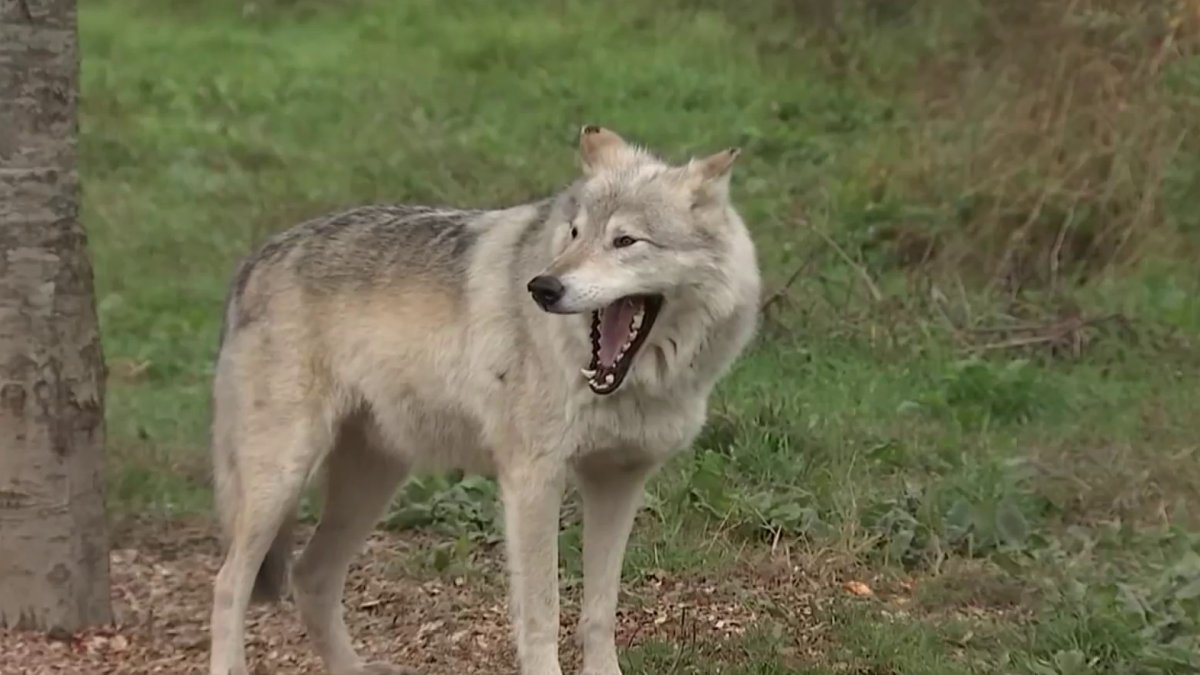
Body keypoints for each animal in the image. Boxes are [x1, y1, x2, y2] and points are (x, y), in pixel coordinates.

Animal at [207, 125, 762, 675]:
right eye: (575, 233)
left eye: (625, 241)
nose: (543, 287)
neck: (628, 386)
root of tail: (254, 261)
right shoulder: (533, 482)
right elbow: (542, 614)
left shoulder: (617, 483)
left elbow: (600, 611)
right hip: (281, 480)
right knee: (229, 583)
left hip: (373, 481)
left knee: (310, 576)